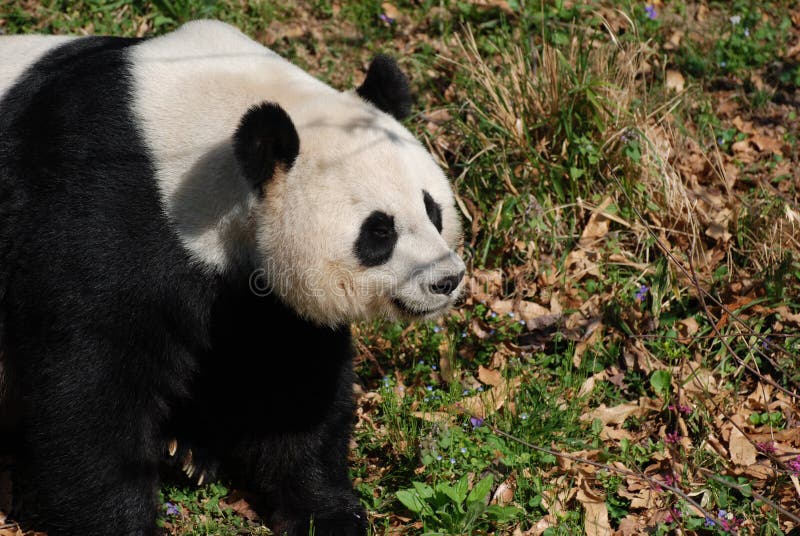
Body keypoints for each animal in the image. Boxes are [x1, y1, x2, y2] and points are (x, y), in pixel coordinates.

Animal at [0, 20, 464, 536]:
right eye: (379, 231)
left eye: (432, 210)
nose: (446, 280)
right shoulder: (101, 201)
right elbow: (90, 378)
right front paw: (121, 521)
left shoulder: (260, 291)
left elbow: (294, 381)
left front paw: (327, 513)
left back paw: (186, 452)